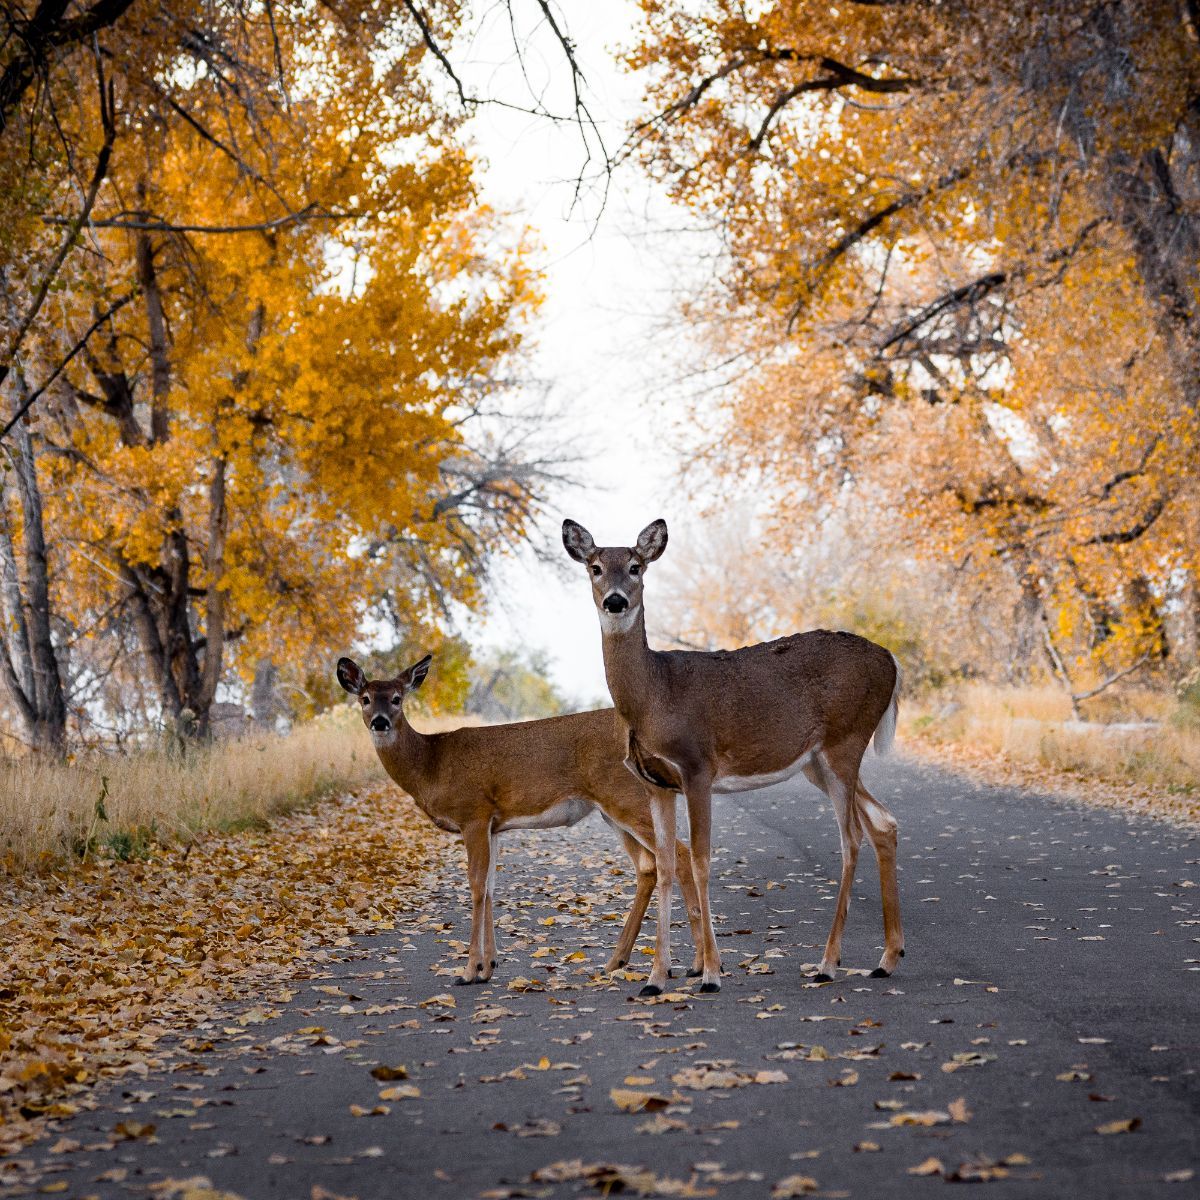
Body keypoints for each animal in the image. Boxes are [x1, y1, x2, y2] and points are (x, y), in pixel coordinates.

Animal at [336, 654, 709, 987]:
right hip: (612, 810)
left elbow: (475, 885)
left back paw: (693, 965)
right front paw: (489, 966)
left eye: (397, 699)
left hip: (628, 798)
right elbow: (489, 887)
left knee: (677, 854)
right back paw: (618, 961)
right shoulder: (494, 824)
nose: (380, 721)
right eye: (365, 699)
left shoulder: (473, 813)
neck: (431, 765)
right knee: (648, 865)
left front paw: (469, 971)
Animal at [562, 517, 903, 997]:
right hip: (816, 762)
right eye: (594, 567)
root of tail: (892, 660)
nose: (615, 601)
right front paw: (654, 979)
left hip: (845, 741)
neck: (655, 696)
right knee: (883, 822)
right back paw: (886, 959)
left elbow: (701, 859)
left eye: (635, 566)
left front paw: (710, 973)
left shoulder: (697, 767)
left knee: (850, 838)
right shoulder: (656, 783)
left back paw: (828, 964)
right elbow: (666, 865)